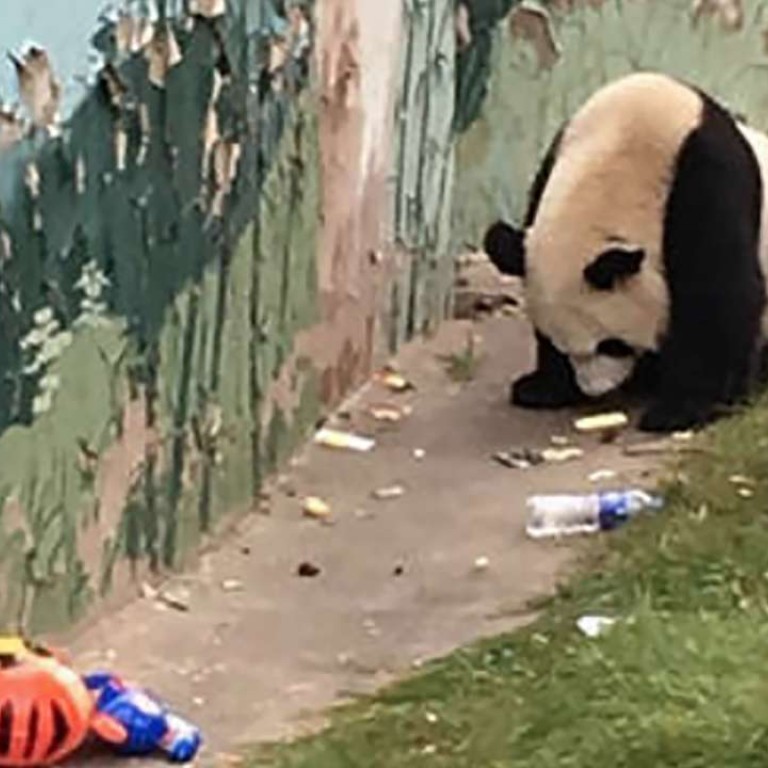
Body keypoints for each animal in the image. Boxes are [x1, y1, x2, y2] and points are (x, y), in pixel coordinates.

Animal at [483, 71, 768, 433]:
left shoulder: (707, 182)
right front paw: (542, 387)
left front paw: (682, 409)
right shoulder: (553, 164)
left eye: (611, 345)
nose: (592, 389)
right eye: (559, 342)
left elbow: (718, 293)